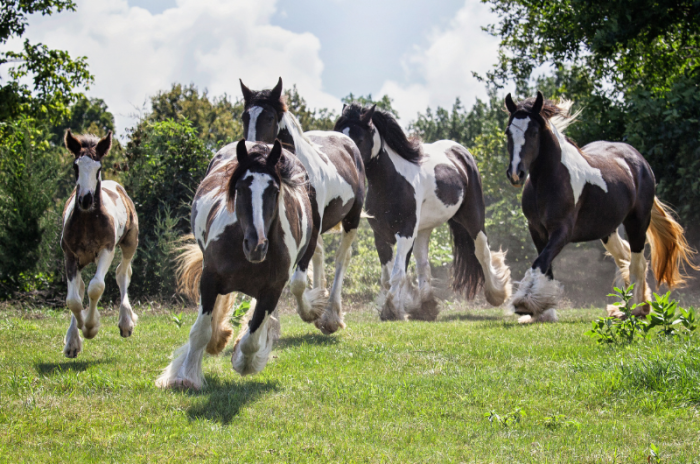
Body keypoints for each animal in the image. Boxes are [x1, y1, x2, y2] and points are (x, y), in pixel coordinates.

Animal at [61, 130, 139, 358]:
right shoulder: (69, 255)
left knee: (122, 273)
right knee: (79, 288)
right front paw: (77, 334)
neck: (88, 220)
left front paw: (91, 327)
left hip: (130, 243)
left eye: (99, 167)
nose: (86, 199)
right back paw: (73, 339)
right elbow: (73, 299)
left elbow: (96, 287)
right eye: (75, 166)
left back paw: (126, 321)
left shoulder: (106, 249)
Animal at [156, 140, 314, 389]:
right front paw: (185, 377)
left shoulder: (272, 291)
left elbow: (252, 338)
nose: (256, 245)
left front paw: (244, 361)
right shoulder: (209, 279)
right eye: (240, 188)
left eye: (274, 190)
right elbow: (199, 331)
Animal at [239, 78, 365, 334]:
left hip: (352, 219)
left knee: (341, 258)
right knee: (321, 255)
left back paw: (330, 316)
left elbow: (297, 282)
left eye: (269, 117)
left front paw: (312, 311)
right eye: (244, 117)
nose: (251, 152)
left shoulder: (312, 228)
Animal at [334, 103, 512, 321]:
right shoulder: (381, 235)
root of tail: (460, 152)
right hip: (424, 230)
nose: (346, 162)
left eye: (359, 138)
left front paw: (392, 310)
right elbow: (388, 276)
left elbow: (398, 273)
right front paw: (397, 307)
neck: (391, 182)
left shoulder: (405, 232)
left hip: (473, 218)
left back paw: (497, 295)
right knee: (423, 264)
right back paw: (426, 307)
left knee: (482, 252)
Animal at [504, 92, 697, 322]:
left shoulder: (562, 231)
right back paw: (631, 306)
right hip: (608, 230)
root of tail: (640, 161)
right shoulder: (537, 230)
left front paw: (525, 303)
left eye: (533, 132)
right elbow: (545, 265)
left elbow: (540, 262)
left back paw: (636, 309)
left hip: (637, 222)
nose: (516, 174)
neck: (550, 179)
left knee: (637, 263)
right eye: (508, 132)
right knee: (624, 258)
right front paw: (543, 312)